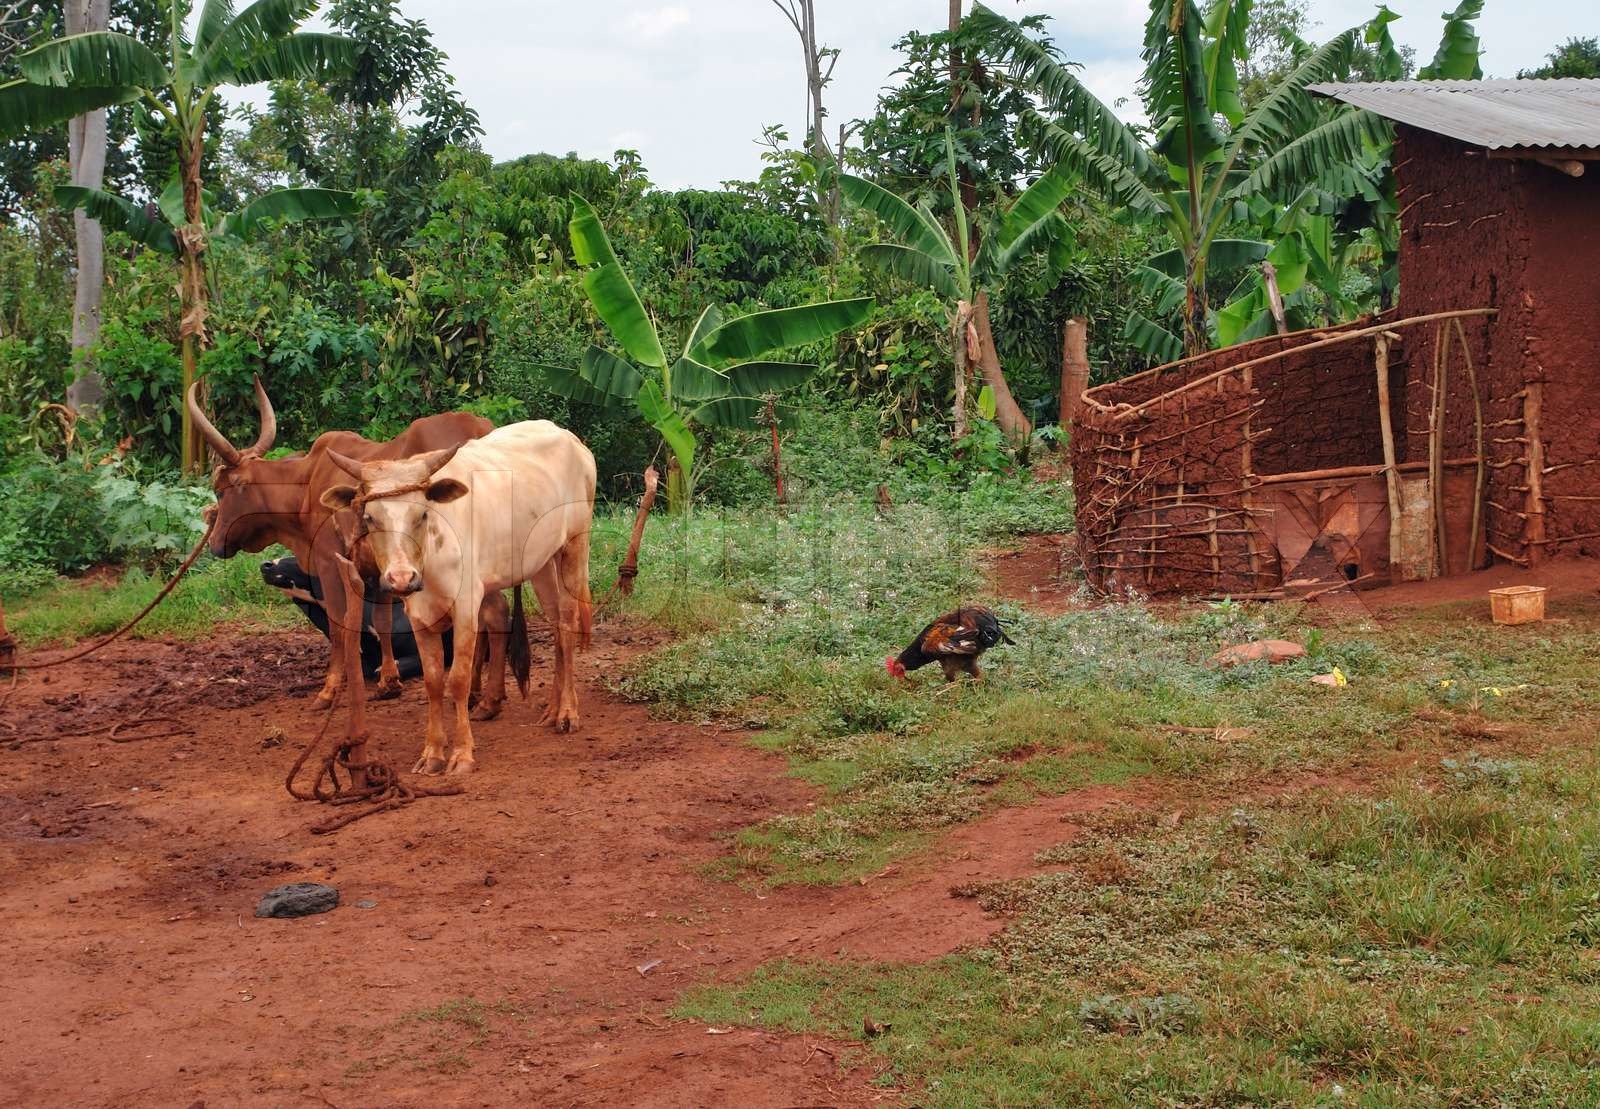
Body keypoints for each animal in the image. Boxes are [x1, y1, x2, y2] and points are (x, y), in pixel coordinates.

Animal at [187, 381, 522, 722]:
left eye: (220, 491)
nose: (215, 542)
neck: (306, 485)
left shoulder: (328, 564)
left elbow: (339, 625)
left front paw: (329, 691)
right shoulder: (380, 572)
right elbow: (382, 621)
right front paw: (389, 683)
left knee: (495, 614)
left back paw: (489, 701)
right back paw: (478, 694)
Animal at [320, 420, 596, 775]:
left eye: (423, 514)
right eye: (370, 517)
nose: (401, 577)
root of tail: (570, 438)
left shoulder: (466, 609)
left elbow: (459, 680)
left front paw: (462, 753)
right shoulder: (418, 615)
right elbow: (434, 682)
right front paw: (433, 752)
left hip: (575, 546)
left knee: (568, 622)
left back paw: (567, 713)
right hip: (542, 563)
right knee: (557, 623)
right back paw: (551, 710)